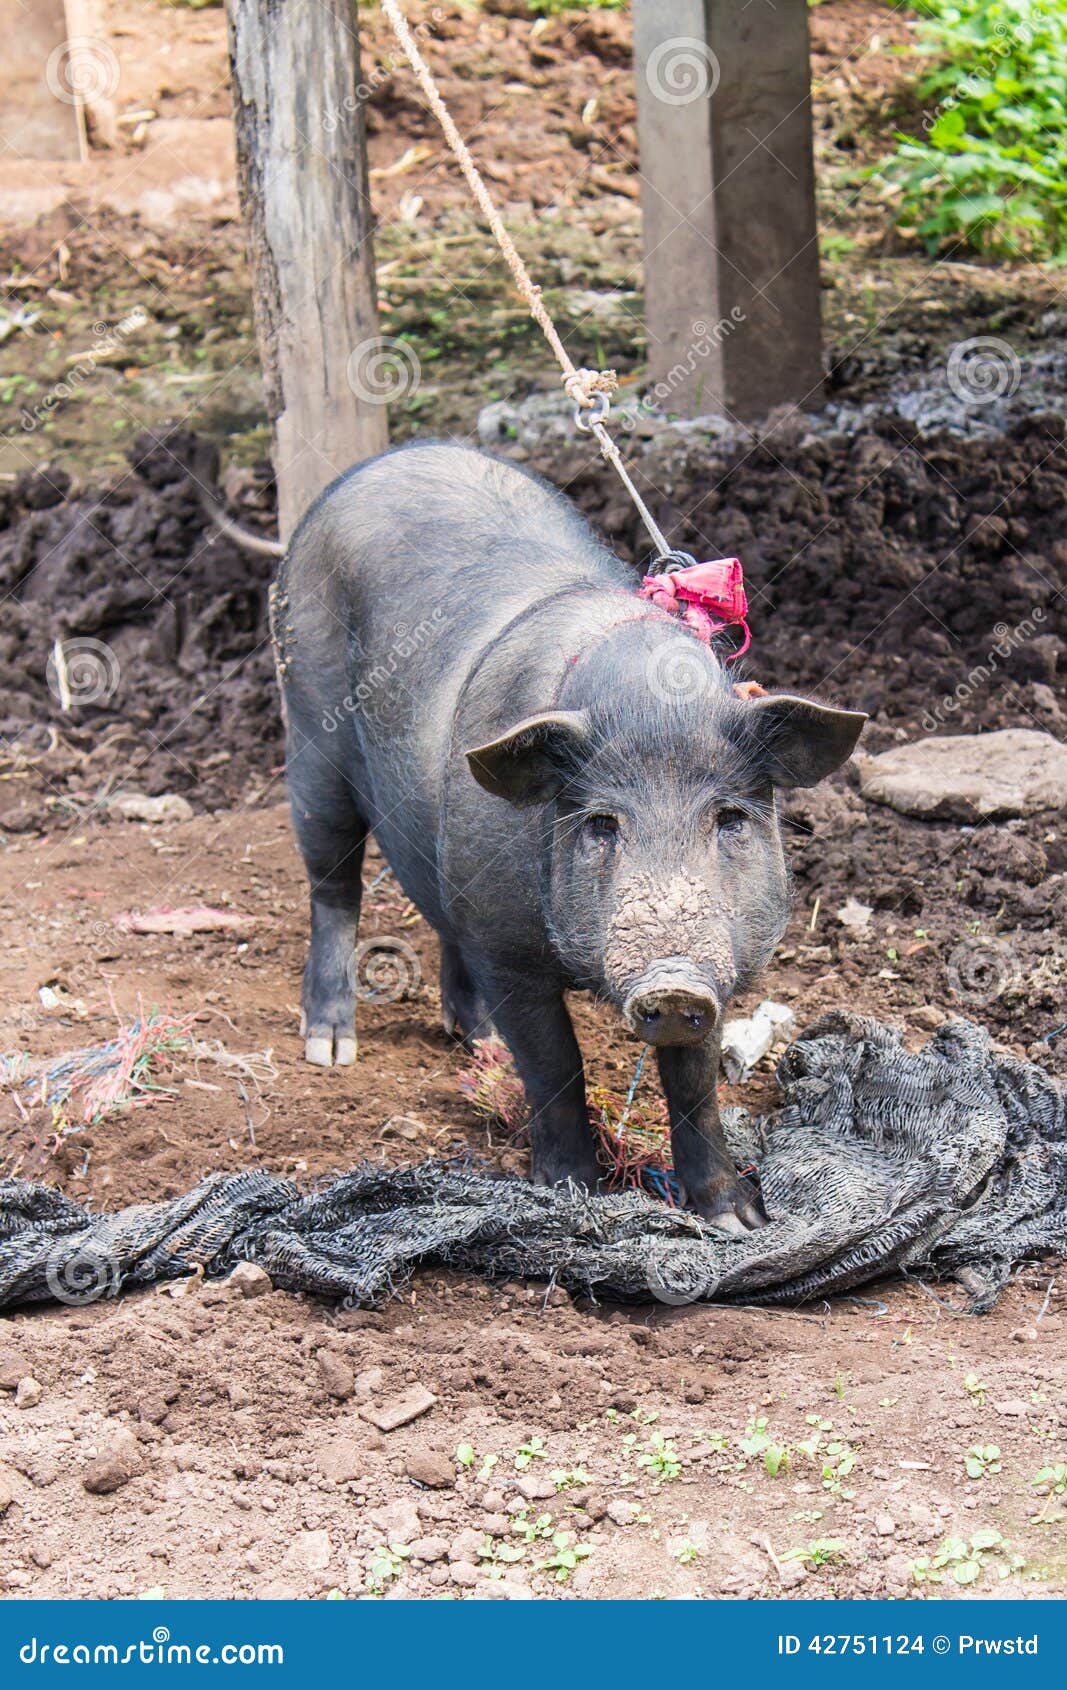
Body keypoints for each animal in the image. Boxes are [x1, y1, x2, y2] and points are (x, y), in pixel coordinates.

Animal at [272, 442, 865, 1234]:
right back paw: (331, 1048)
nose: (671, 979)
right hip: (309, 733)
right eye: (601, 823)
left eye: (731, 818)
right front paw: (569, 1193)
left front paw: (737, 1221)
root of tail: (384, 461)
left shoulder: (721, 956)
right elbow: (555, 1063)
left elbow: (694, 1083)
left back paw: (478, 1040)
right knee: (333, 884)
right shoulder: (508, 947)